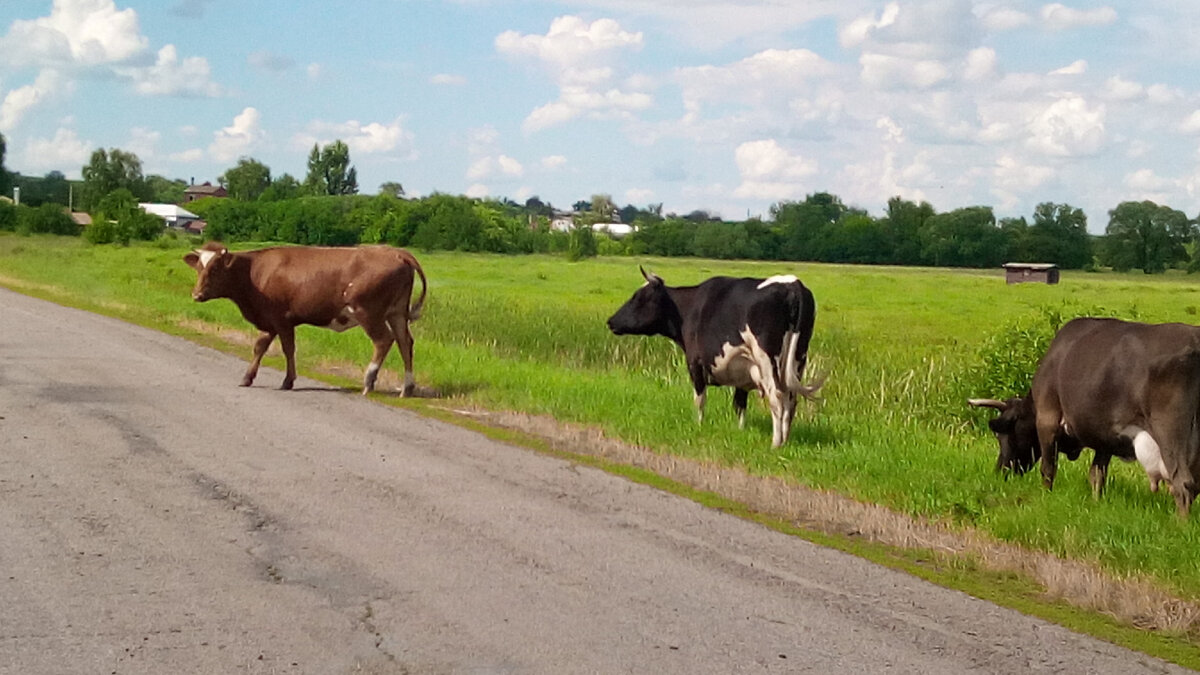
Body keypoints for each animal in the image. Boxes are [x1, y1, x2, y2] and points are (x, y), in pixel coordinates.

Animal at [184, 240, 429, 393]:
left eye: (215, 269)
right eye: (198, 268)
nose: (197, 295)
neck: (254, 272)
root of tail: (397, 252)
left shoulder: (282, 319)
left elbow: (288, 349)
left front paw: (288, 381)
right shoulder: (269, 320)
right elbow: (259, 347)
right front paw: (247, 377)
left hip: (369, 312)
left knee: (384, 340)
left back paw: (369, 381)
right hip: (397, 313)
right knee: (405, 342)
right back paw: (407, 387)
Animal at [604, 264, 820, 446]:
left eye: (638, 298)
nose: (611, 321)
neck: (688, 309)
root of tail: (793, 284)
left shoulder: (695, 362)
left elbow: (700, 399)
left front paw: (698, 425)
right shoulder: (744, 372)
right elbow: (740, 405)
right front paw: (739, 431)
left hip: (767, 360)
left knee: (777, 397)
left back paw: (775, 443)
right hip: (797, 359)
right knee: (791, 398)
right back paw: (785, 440)